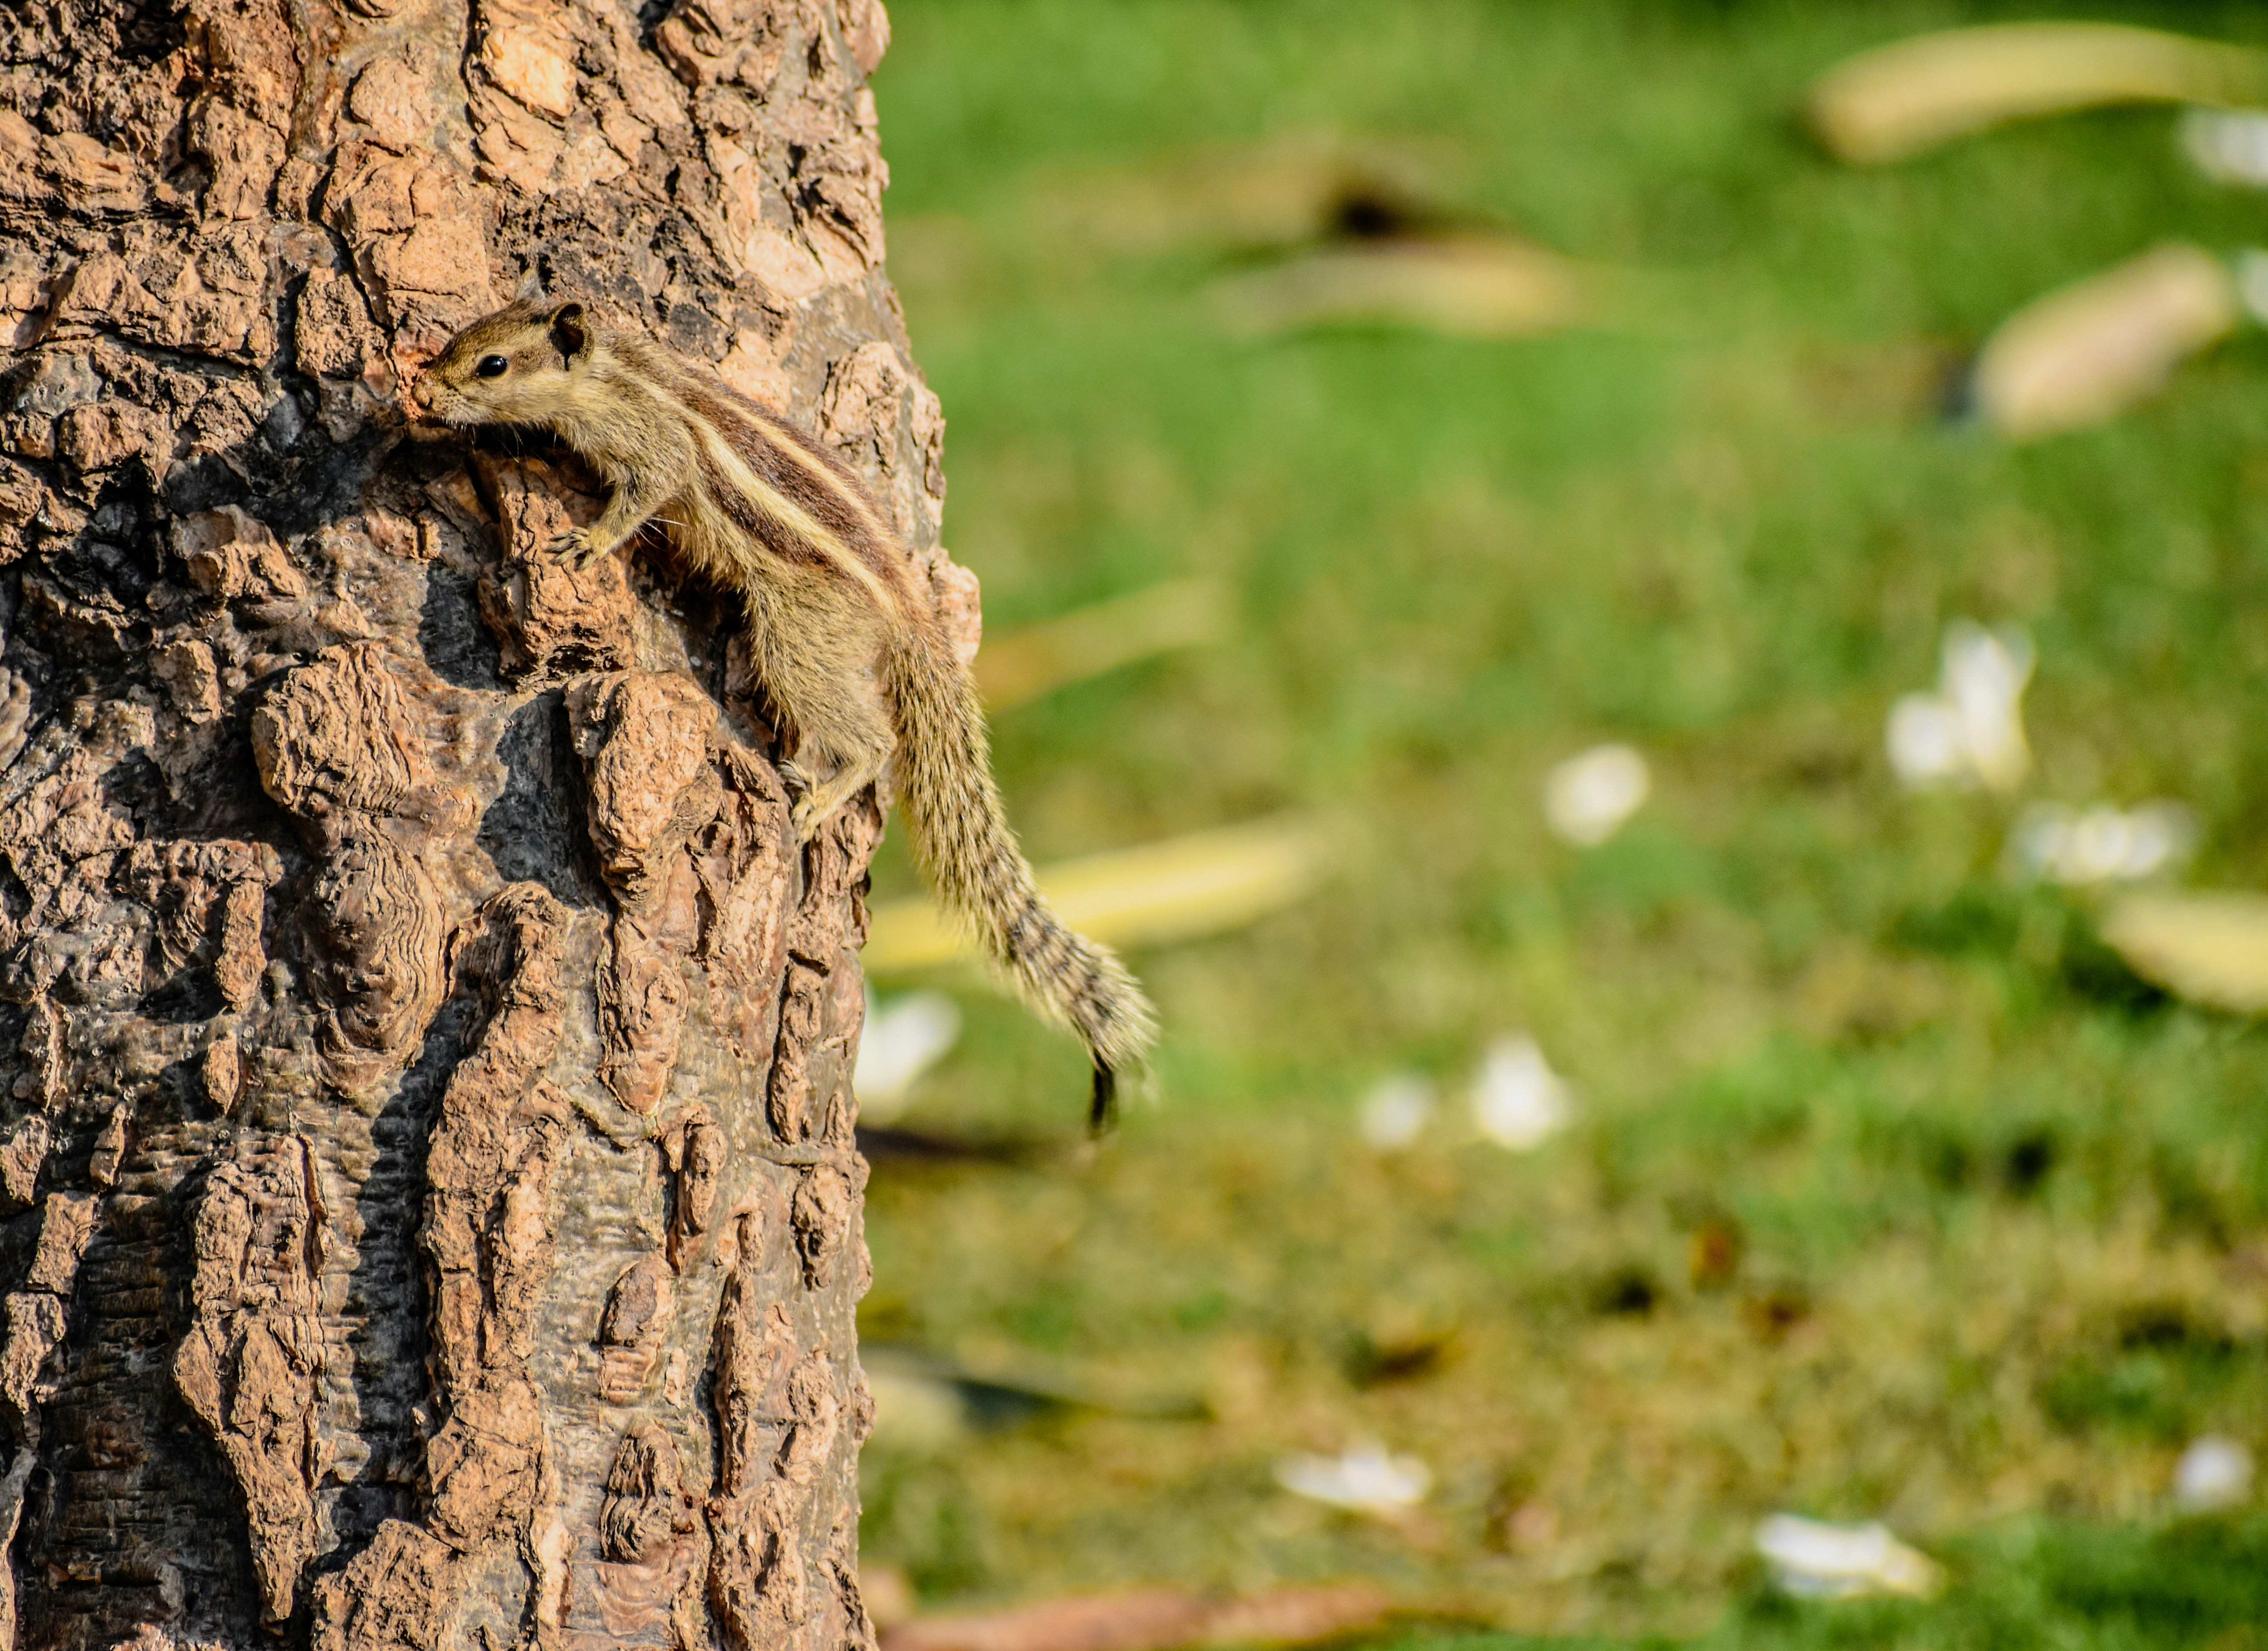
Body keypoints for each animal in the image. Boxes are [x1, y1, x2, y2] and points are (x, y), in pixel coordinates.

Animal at [410, 297, 1156, 1126]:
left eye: (494, 365)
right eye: (464, 338)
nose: (423, 389)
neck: (619, 376)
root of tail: (911, 610)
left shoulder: (655, 453)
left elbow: (640, 500)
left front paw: (588, 539)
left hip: (797, 640)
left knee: (873, 740)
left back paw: (819, 797)